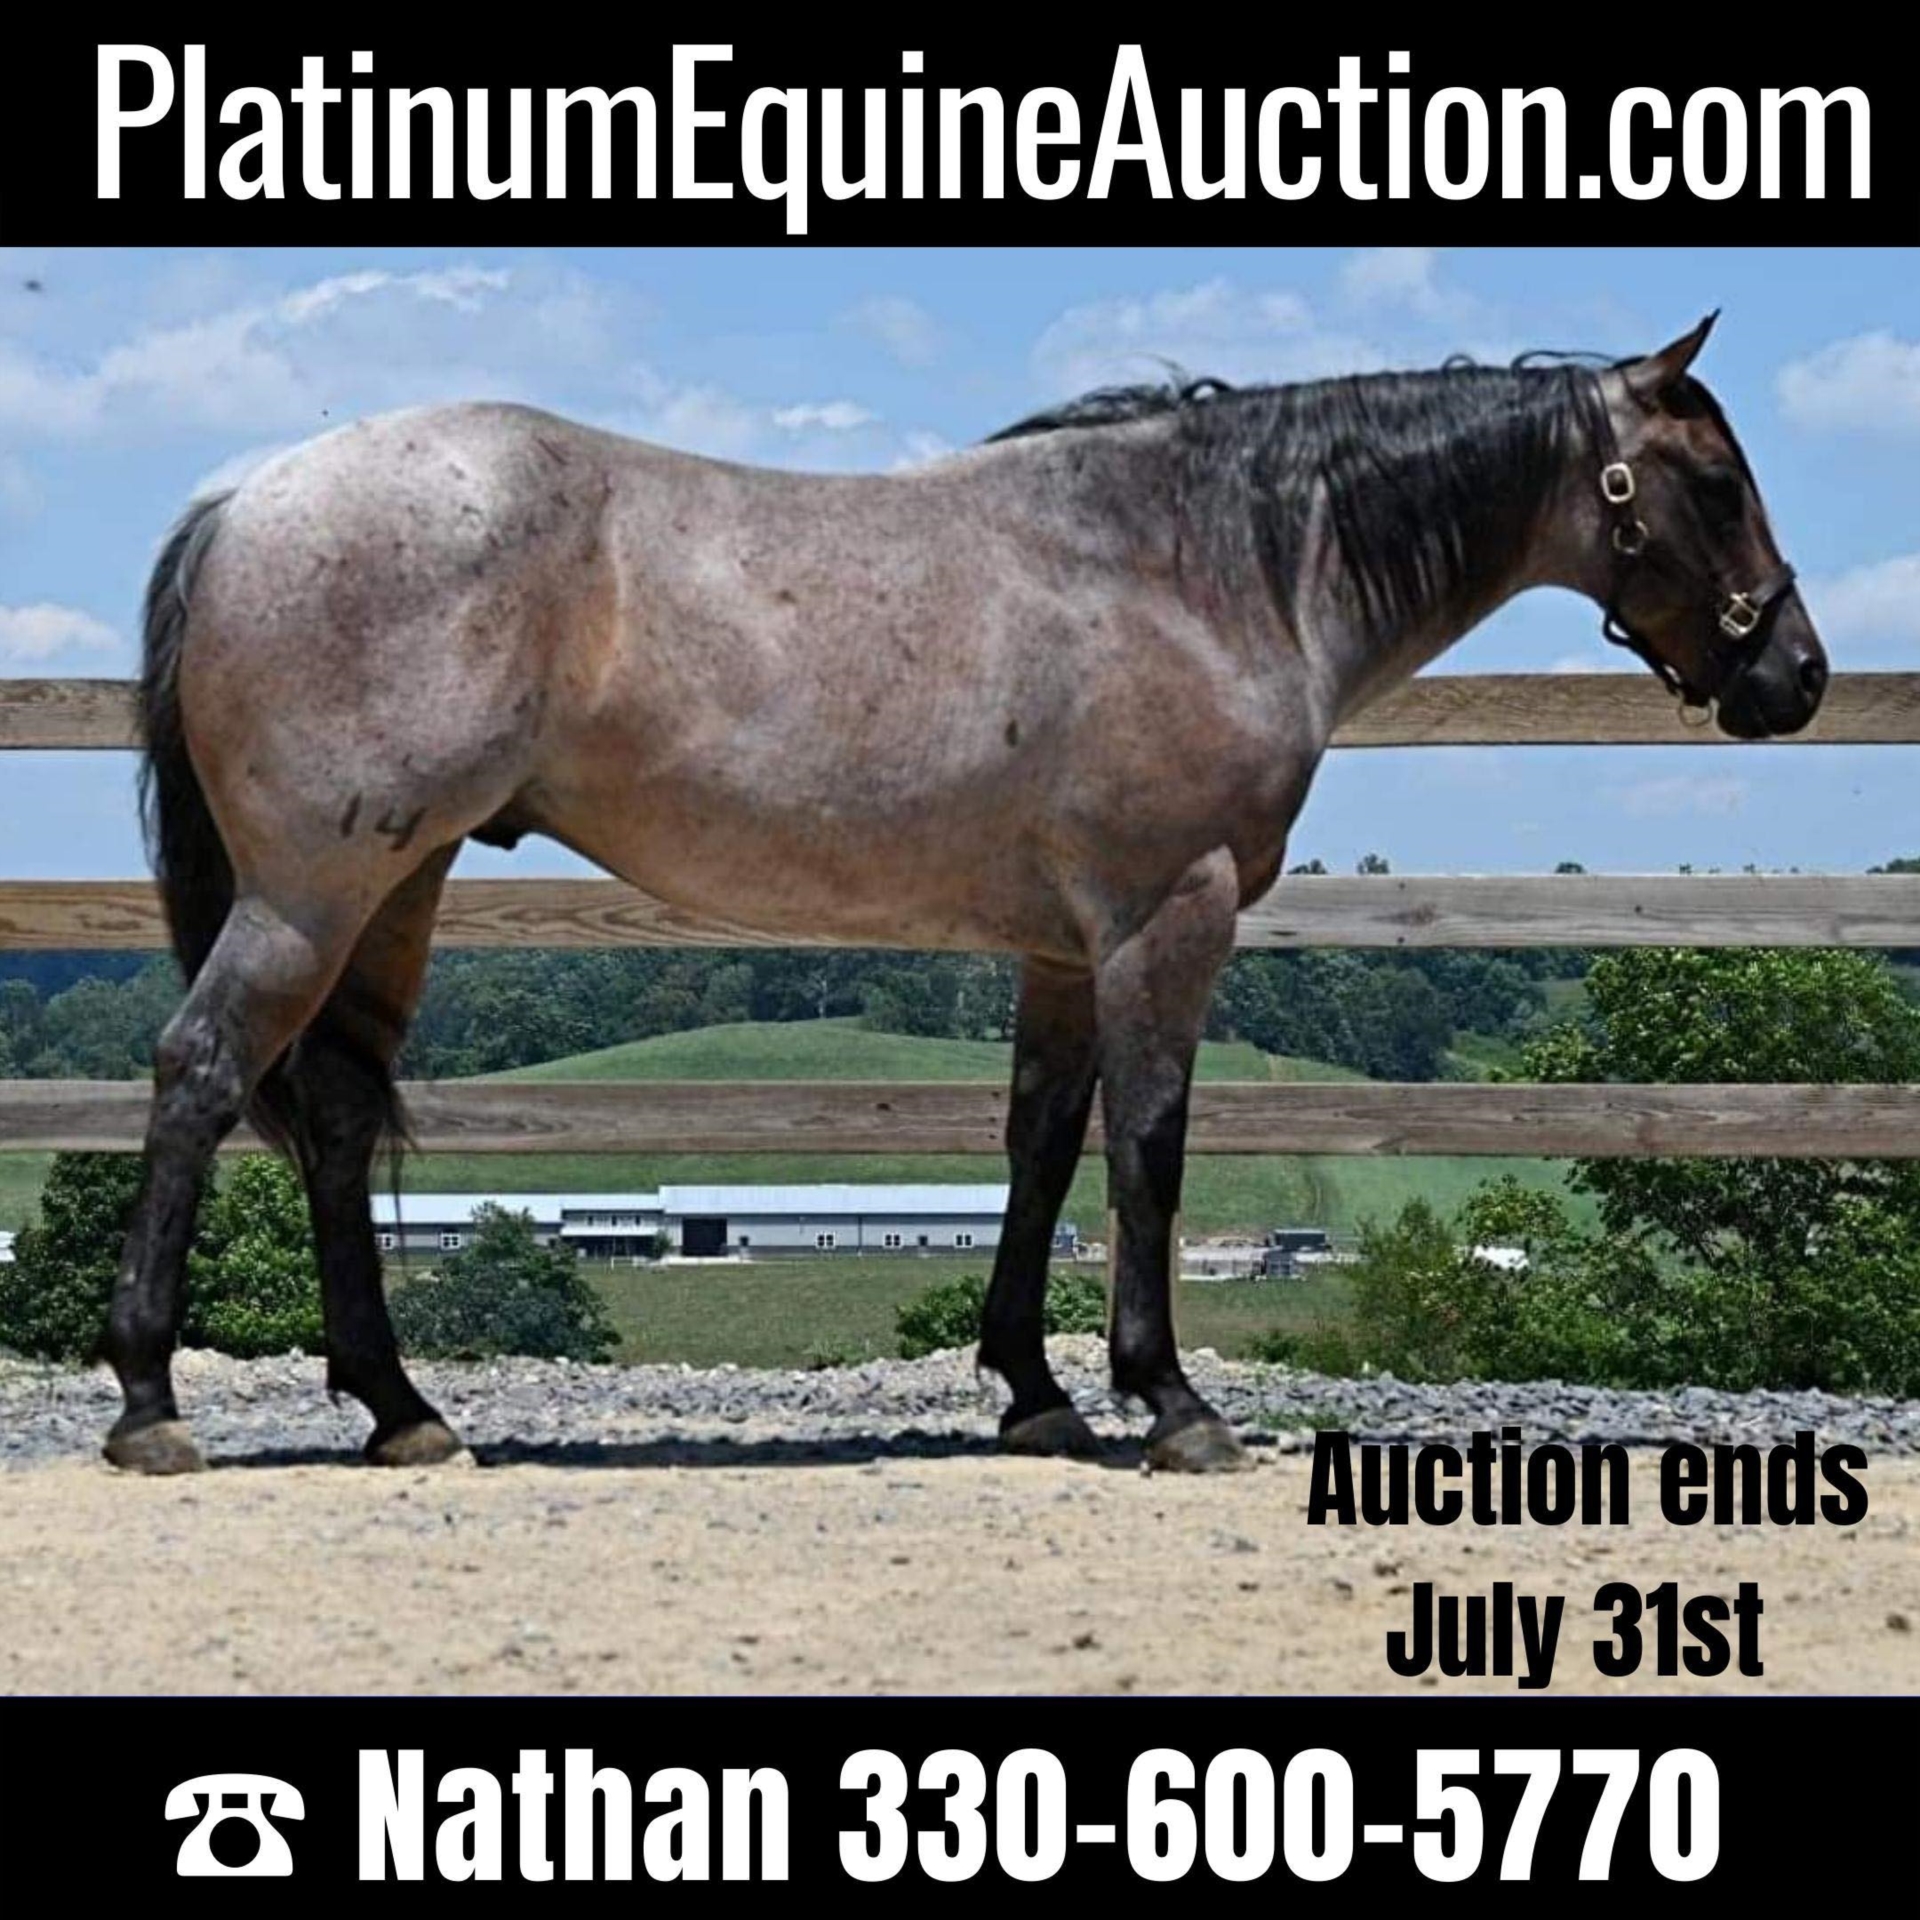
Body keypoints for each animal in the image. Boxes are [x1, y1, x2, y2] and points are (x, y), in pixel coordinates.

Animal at [101, 312, 1826, 1474]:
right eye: (1713, 480)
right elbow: (1151, 1149)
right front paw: (1171, 1401)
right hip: (313, 890)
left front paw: (1038, 1392)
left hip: (395, 887)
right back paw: (149, 1402)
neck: (1205, 568)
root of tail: (245, 502)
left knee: (331, 1111)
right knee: (198, 1073)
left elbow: (1042, 1145)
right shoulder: (1168, 916)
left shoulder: (1064, 949)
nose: (1796, 677)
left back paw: (402, 1411)